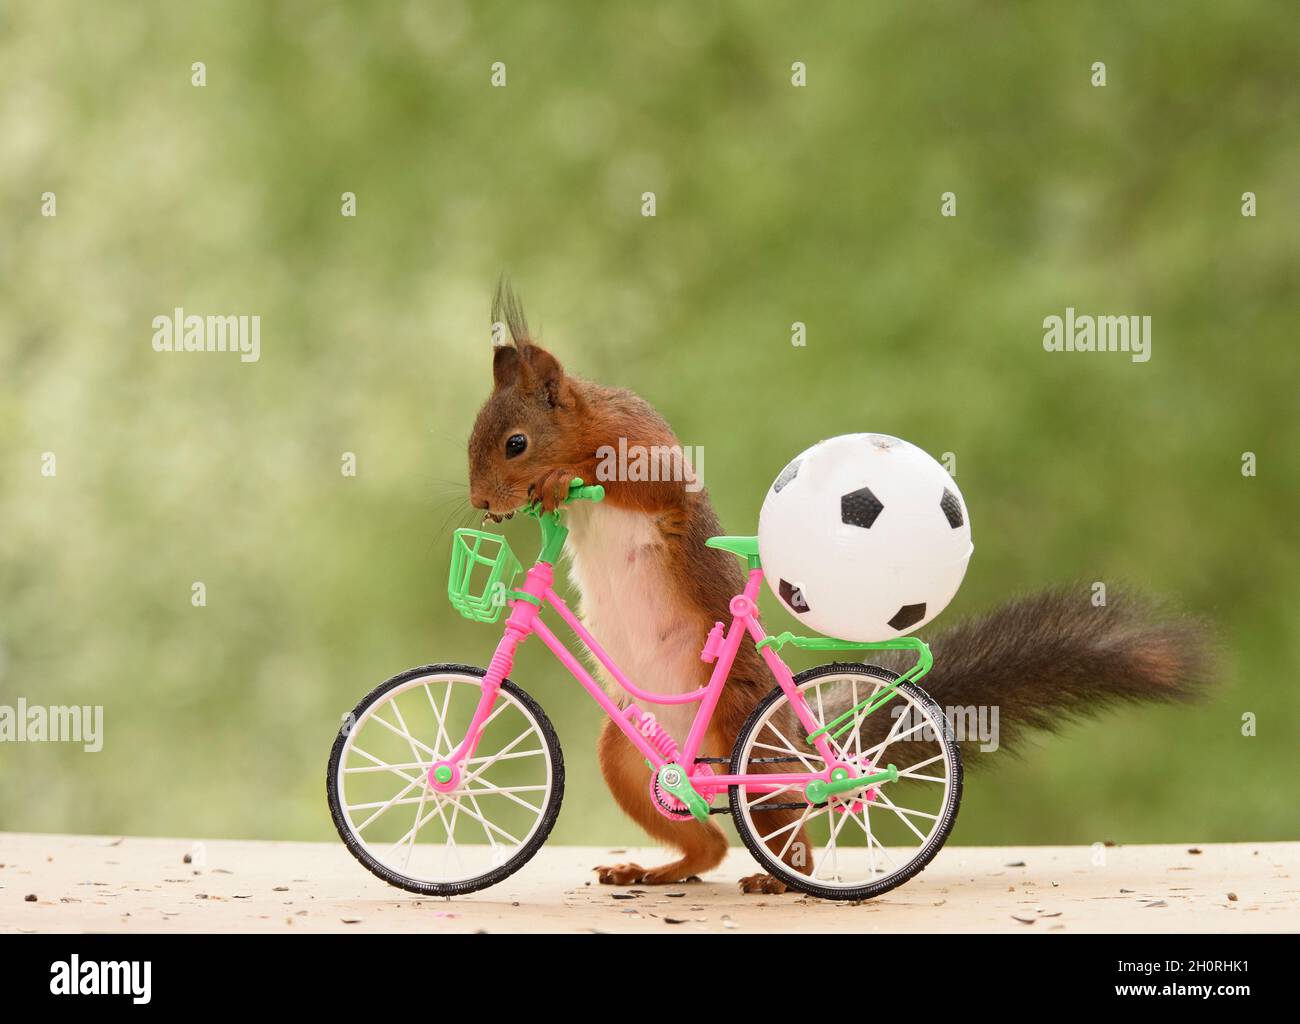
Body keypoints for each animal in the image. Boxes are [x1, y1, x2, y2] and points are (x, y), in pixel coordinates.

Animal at [466, 282, 1213, 894]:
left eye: (515, 443)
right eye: (472, 437)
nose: (480, 505)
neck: (585, 422)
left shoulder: (639, 444)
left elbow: (645, 482)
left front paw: (560, 481)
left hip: (752, 741)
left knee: (793, 814)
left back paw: (781, 875)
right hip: (627, 756)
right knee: (707, 844)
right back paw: (657, 869)